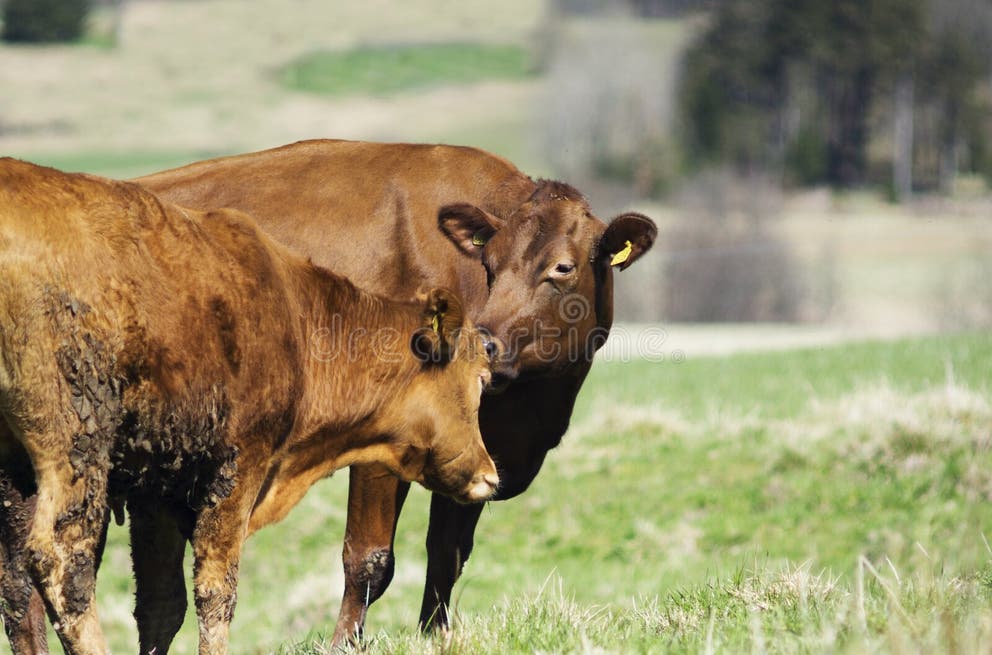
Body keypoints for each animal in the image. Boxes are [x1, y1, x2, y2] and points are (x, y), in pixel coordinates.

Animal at [0, 158, 498, 655]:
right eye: (480, 378)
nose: (489, 476)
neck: (297, 321)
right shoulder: (236, 466)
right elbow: (216, 591)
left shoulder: (157, 491)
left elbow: (161, 605)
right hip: (74, 450)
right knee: (62, 561)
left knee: (17, 588)